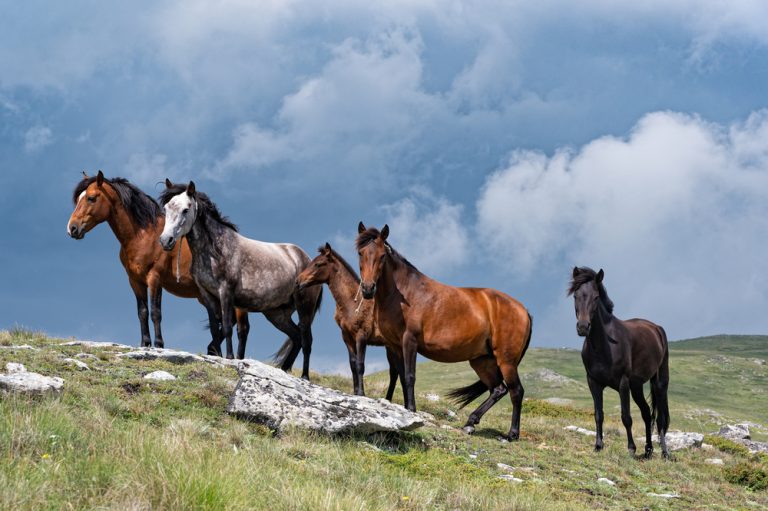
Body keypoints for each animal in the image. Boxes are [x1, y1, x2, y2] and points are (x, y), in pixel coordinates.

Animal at [66, 170, 250, 354]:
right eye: (78, 198)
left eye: (91, 198)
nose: (72, 228)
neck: (143, 235)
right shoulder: (135, 281)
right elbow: (142, 311)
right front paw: (145, 343)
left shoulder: (154, 278)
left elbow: (156, 312)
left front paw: (159, 344)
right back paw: (214, 349)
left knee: (242, 328)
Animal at [158, 180, 322, 375]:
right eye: (166, 208)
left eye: (185, 209)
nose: (166, 240)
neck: (215, 250)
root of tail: (307, 259)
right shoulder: (207, 295)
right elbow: (215, 330)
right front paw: (217, 356)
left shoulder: (226, 292)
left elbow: (227, 327)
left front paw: (229, 357)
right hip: (277, 314)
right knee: (296, 337)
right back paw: (283, 369)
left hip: (305, 307)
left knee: (306, 340)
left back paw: (304, 376)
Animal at [296, 242, 399, 398]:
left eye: (318, 264)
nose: (298, 281)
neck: (351, 302)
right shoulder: (346, 336)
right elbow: (352, 364)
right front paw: (356, 391)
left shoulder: (361, 336)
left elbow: (360, 365)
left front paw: (361, 393)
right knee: (396, 371)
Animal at [355, 223, 533, 441]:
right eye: (361, 253)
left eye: (382, 256)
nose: (368, 289)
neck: (404, 293)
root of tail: (523, 310)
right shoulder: (395, 346)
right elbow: (402, 377)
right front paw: (406, 411)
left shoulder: (409, 341)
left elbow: (410, 376)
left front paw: (411, 410)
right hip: (482, 361)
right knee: (498, 390)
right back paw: (470, 423)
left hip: (506, 361)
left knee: (516, 391)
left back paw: (511, 435)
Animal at [568, 267, 670, 459]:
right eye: (575, 296)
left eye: (596, 297)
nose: (583, 327)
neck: (604, 346)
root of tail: (656, 328)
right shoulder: (593, 382)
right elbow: (598, 414)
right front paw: (598, 445)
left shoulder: (623, 383)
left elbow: (626, 417)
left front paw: (631, 448)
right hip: (636, 387)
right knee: (646, 413)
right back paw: (648, 450)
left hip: (659, 383)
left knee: (661, 418)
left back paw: (665, 452)